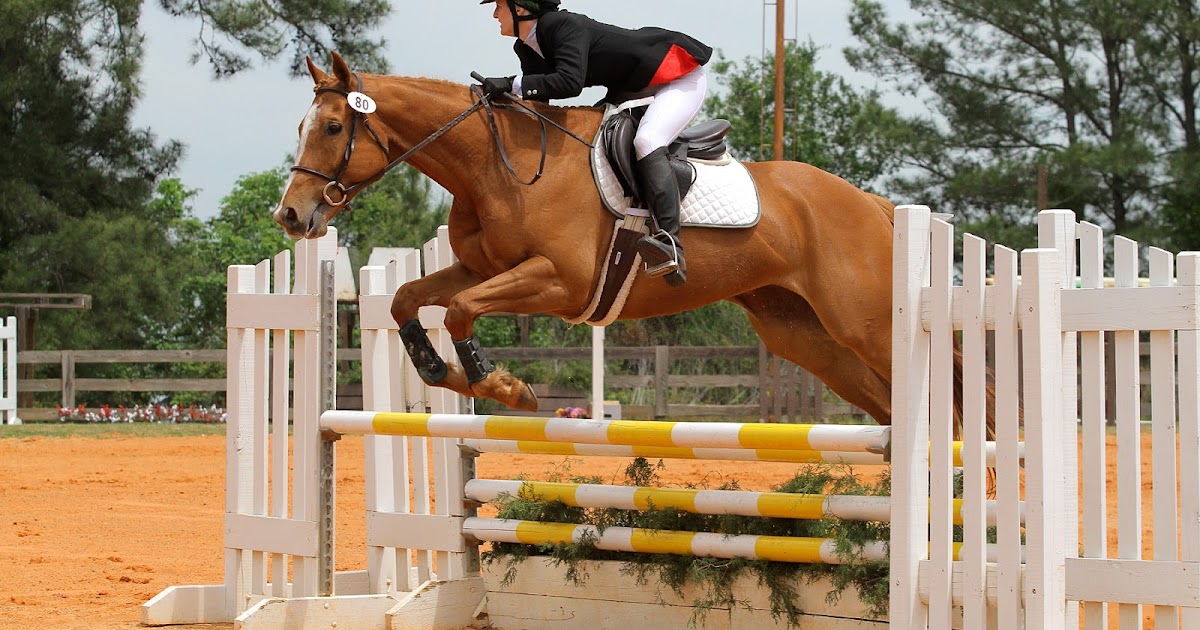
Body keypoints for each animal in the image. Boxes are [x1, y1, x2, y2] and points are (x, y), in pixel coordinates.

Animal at [275, 52, 897, 424]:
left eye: (333, 127)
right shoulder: (482, 269)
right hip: (805, 336)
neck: (494, 168)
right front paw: (441, 373)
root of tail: (873, 204)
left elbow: (459, 309)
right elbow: (410, 299)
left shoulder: (558, 282)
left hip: (864, 325)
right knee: (886, 402)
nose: (291, 215)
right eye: (300, 127)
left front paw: (505, 387)